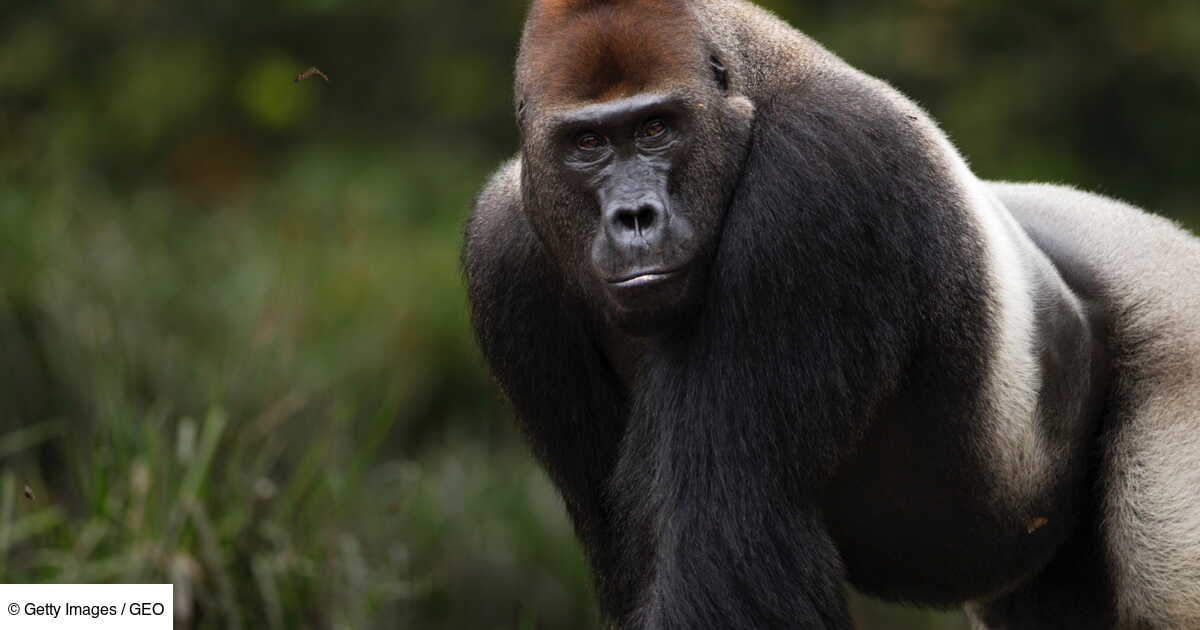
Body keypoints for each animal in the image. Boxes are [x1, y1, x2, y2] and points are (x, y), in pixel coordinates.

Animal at [462, 1, 1200, 628]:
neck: (752, 83)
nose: (634, 217)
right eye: (587, 144)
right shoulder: (504, 249)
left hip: (1179, 327)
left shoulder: (817, 176)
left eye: (655, 129)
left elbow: (730, 544)